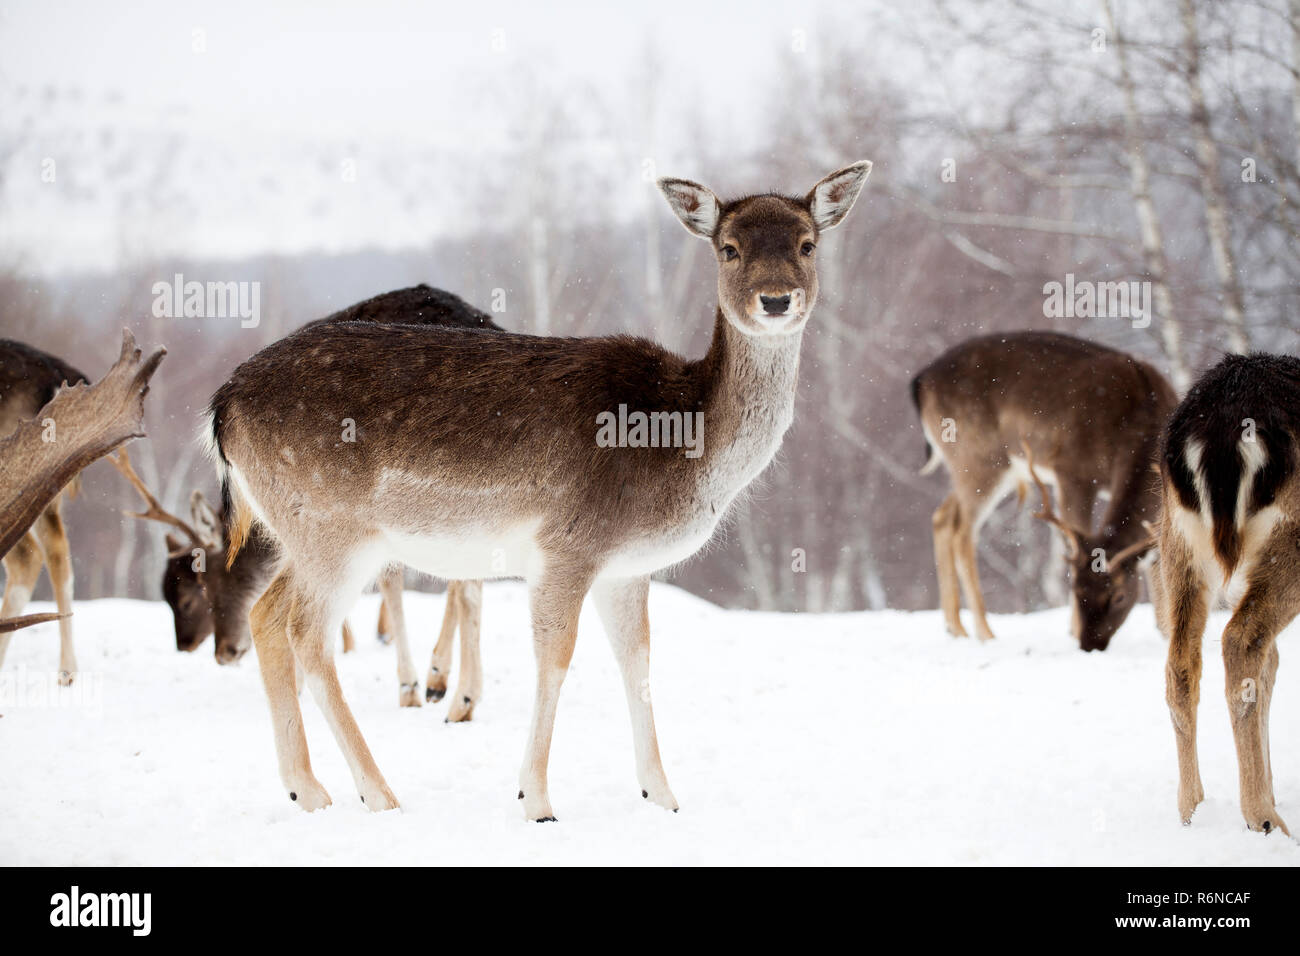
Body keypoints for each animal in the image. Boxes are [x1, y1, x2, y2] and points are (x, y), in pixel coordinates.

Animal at [205, 161, 871, 819]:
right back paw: (378, 792)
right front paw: (536, 799)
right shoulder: (567, 546)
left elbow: (638, 662)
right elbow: (555, 659)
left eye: (808, 244)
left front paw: (663, 797)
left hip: (298, 532)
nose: (776, 299)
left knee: (266, 614)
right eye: (729, 248)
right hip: (333, 528)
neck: (679, 444)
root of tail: (222, 406)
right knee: (306, 633)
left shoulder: (628, 568)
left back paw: (307, 790)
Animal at [911, 331, 1177, 651]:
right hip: (978, 456)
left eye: (1120, 596)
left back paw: (956, 628)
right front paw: (1072, 629)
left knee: (943, 515)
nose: (1089, 644)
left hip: (986, 467)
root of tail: (920, 382)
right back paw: (985, 632)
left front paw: (1166, 634)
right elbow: (1073, 540)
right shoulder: (1072, 470)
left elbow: (1156, 554)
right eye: (1076, 588)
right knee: (963, 531)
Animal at [1156, 352, 1300, 836]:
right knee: (1241, 640)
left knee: (1183, 661)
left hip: (1177, 540)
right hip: (1289, 536)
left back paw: (1191, 809)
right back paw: (1263, 818)